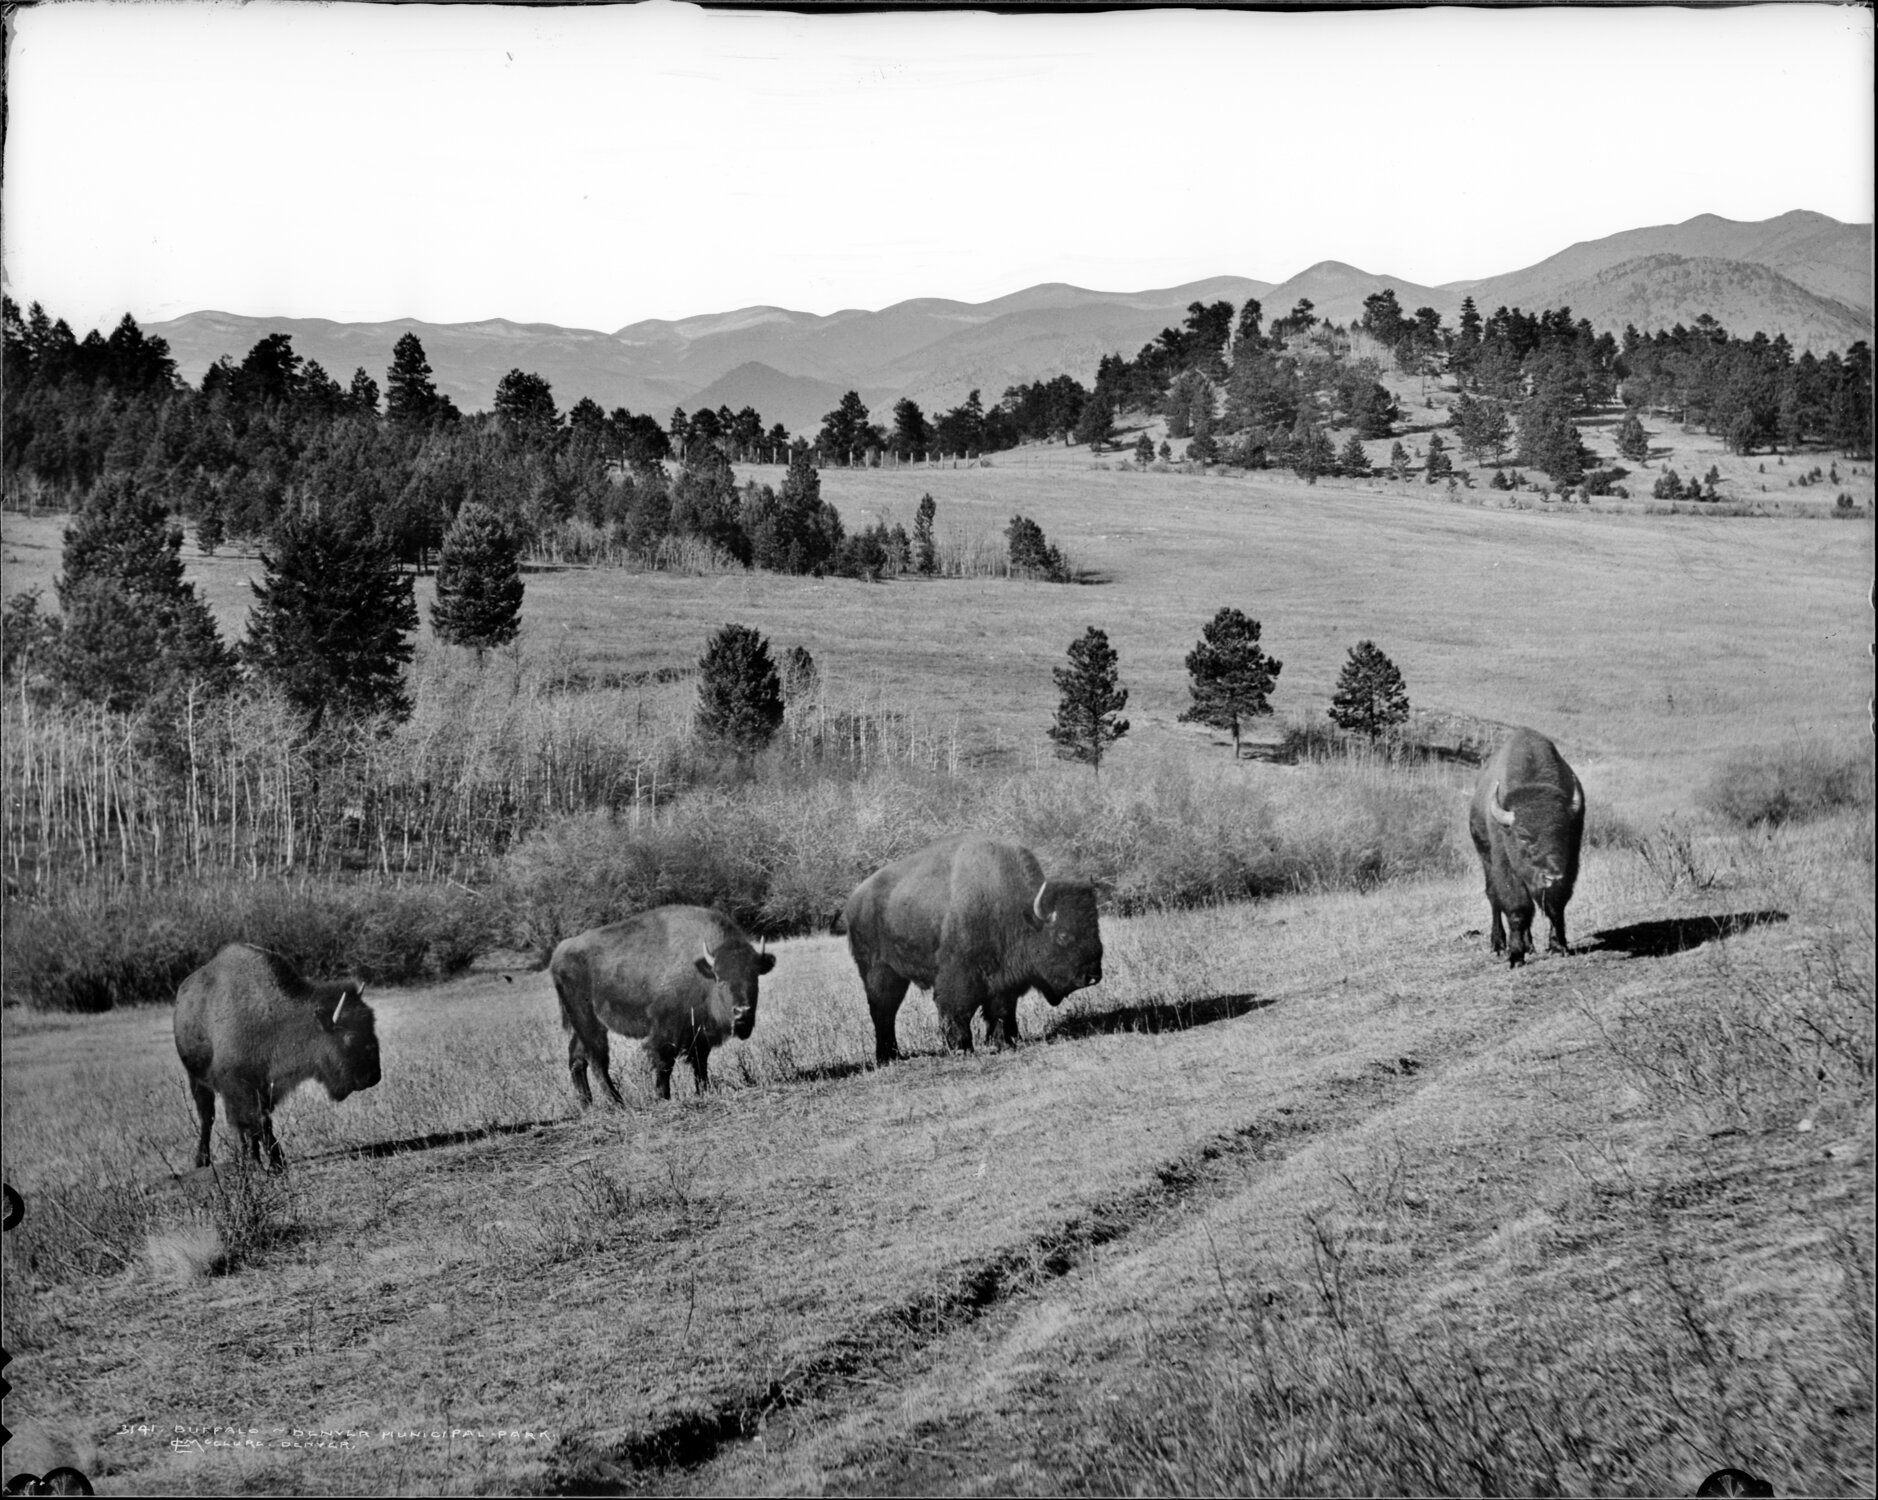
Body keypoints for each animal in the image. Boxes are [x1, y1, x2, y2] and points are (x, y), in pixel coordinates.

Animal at [173, 944, 382, 1170]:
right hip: (196, 1078)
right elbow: (253, 1122)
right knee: (207, 1117)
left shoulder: (264, 1088)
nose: (373, 1077)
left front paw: (271, 1162)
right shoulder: (239, 1088)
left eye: (371, 1025)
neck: (270, 1019)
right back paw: (203, 1160)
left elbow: (260, 1123)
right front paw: (265, 1163)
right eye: (350, 1037)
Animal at [549, 905, 775, 1104]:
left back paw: (586, 1104)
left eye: (754, 976)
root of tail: (559, 952)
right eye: (720, 978)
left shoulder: (699, 1032)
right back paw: (617, 1102)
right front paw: (662, 1097)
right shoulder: (666, 1028)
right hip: (588, 1021)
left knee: (577, 1059)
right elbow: (665, 1062)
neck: (701, 970)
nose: (742, 1012)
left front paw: (703, 1091)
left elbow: (700, 1063)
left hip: (583, 1026)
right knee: (597, 1059)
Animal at [842, 833, 1104, 1063]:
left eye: (1096, 928)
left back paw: (891, 1055)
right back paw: (888, 1056)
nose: (1092, 976)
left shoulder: (1003, 980)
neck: (1015, 909)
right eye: (1063, 935)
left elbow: (1001, 1010)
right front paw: (962, 1047)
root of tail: (855, 899)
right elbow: (957, 1008)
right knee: (883, 1011)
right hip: (879, 970)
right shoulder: (959, 976)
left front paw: (1003, 1042)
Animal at [1468, 727, 1586, 967]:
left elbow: (1555, 907)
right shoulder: (1506, 869)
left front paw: (1559, 946)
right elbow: (1517, 909)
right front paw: (1515, 956)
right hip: (1486, 858)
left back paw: (1530, 945)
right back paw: (1498, 945)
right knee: (1494, 898)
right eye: (1522, 837)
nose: (1552, 877)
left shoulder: (1569, 867)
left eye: (1565, 832)